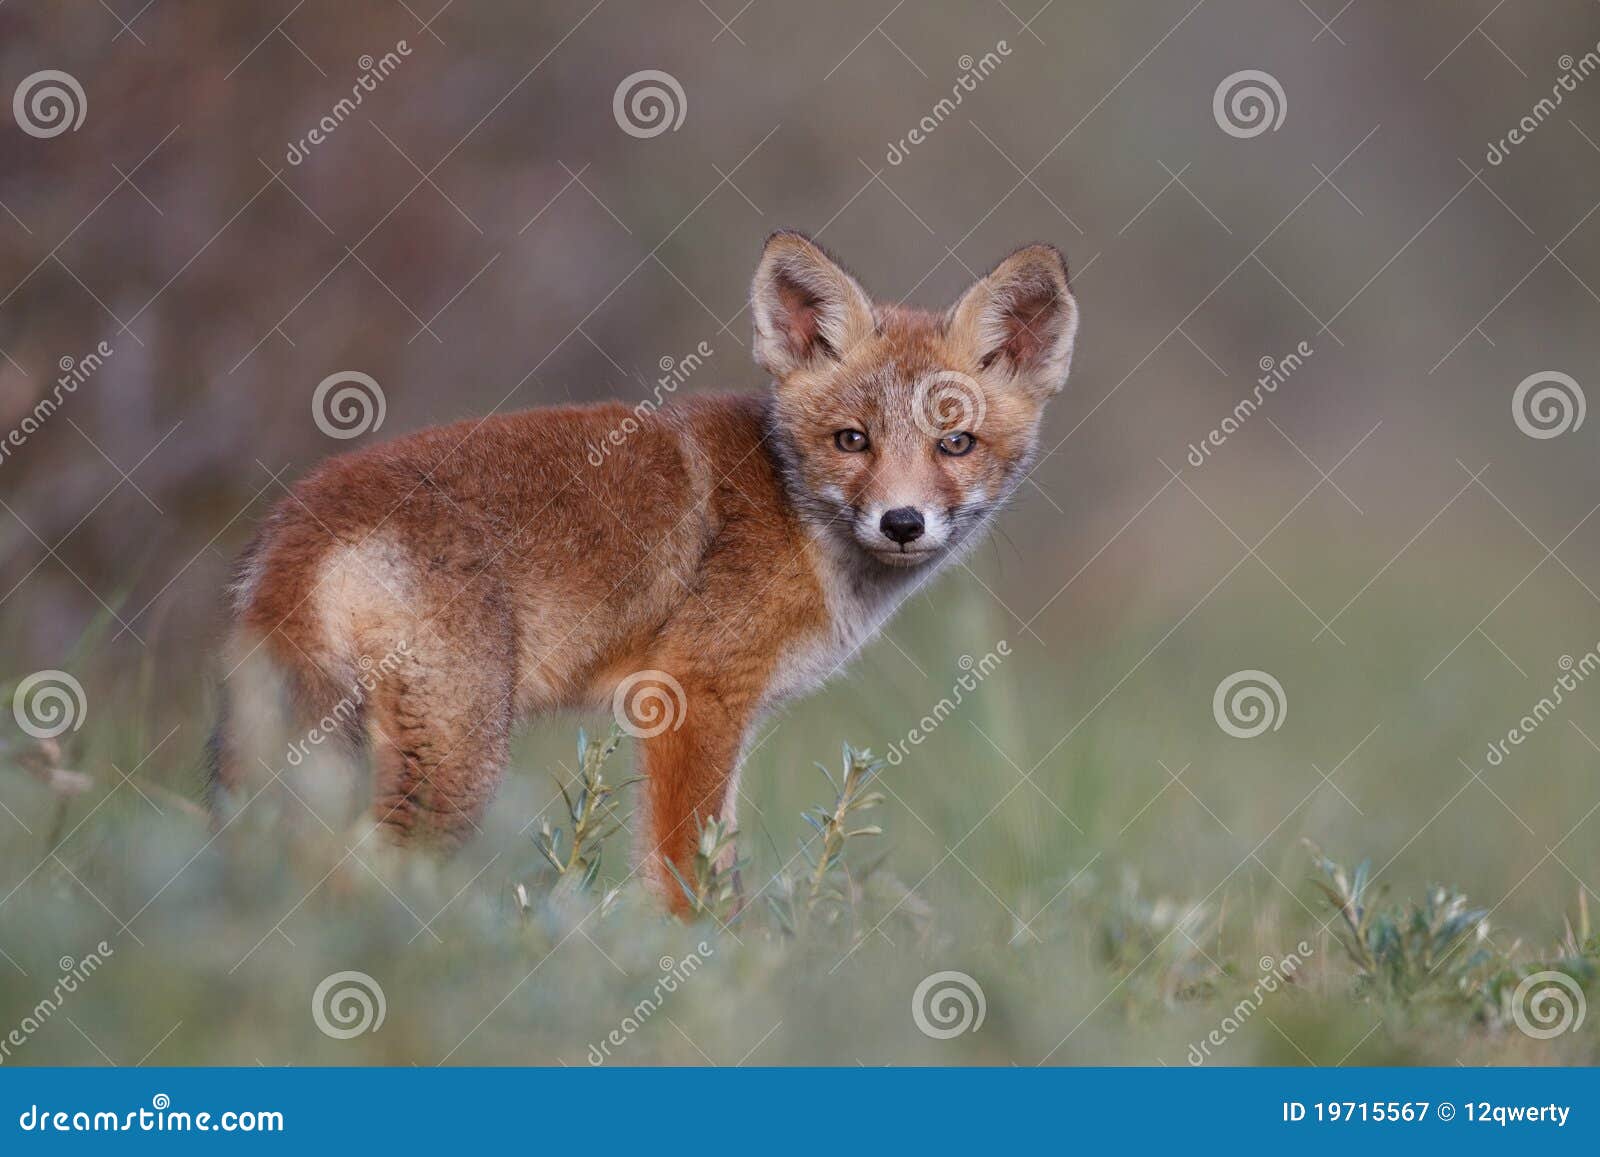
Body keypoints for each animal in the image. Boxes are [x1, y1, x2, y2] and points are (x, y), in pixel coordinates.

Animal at [212, 231, 1079, 911]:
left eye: (955, 444)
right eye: (852, 440)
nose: (902, 522)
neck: (793, 514)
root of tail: (303, 512)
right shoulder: (690, 696)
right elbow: (686, 877)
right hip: (456, 757)